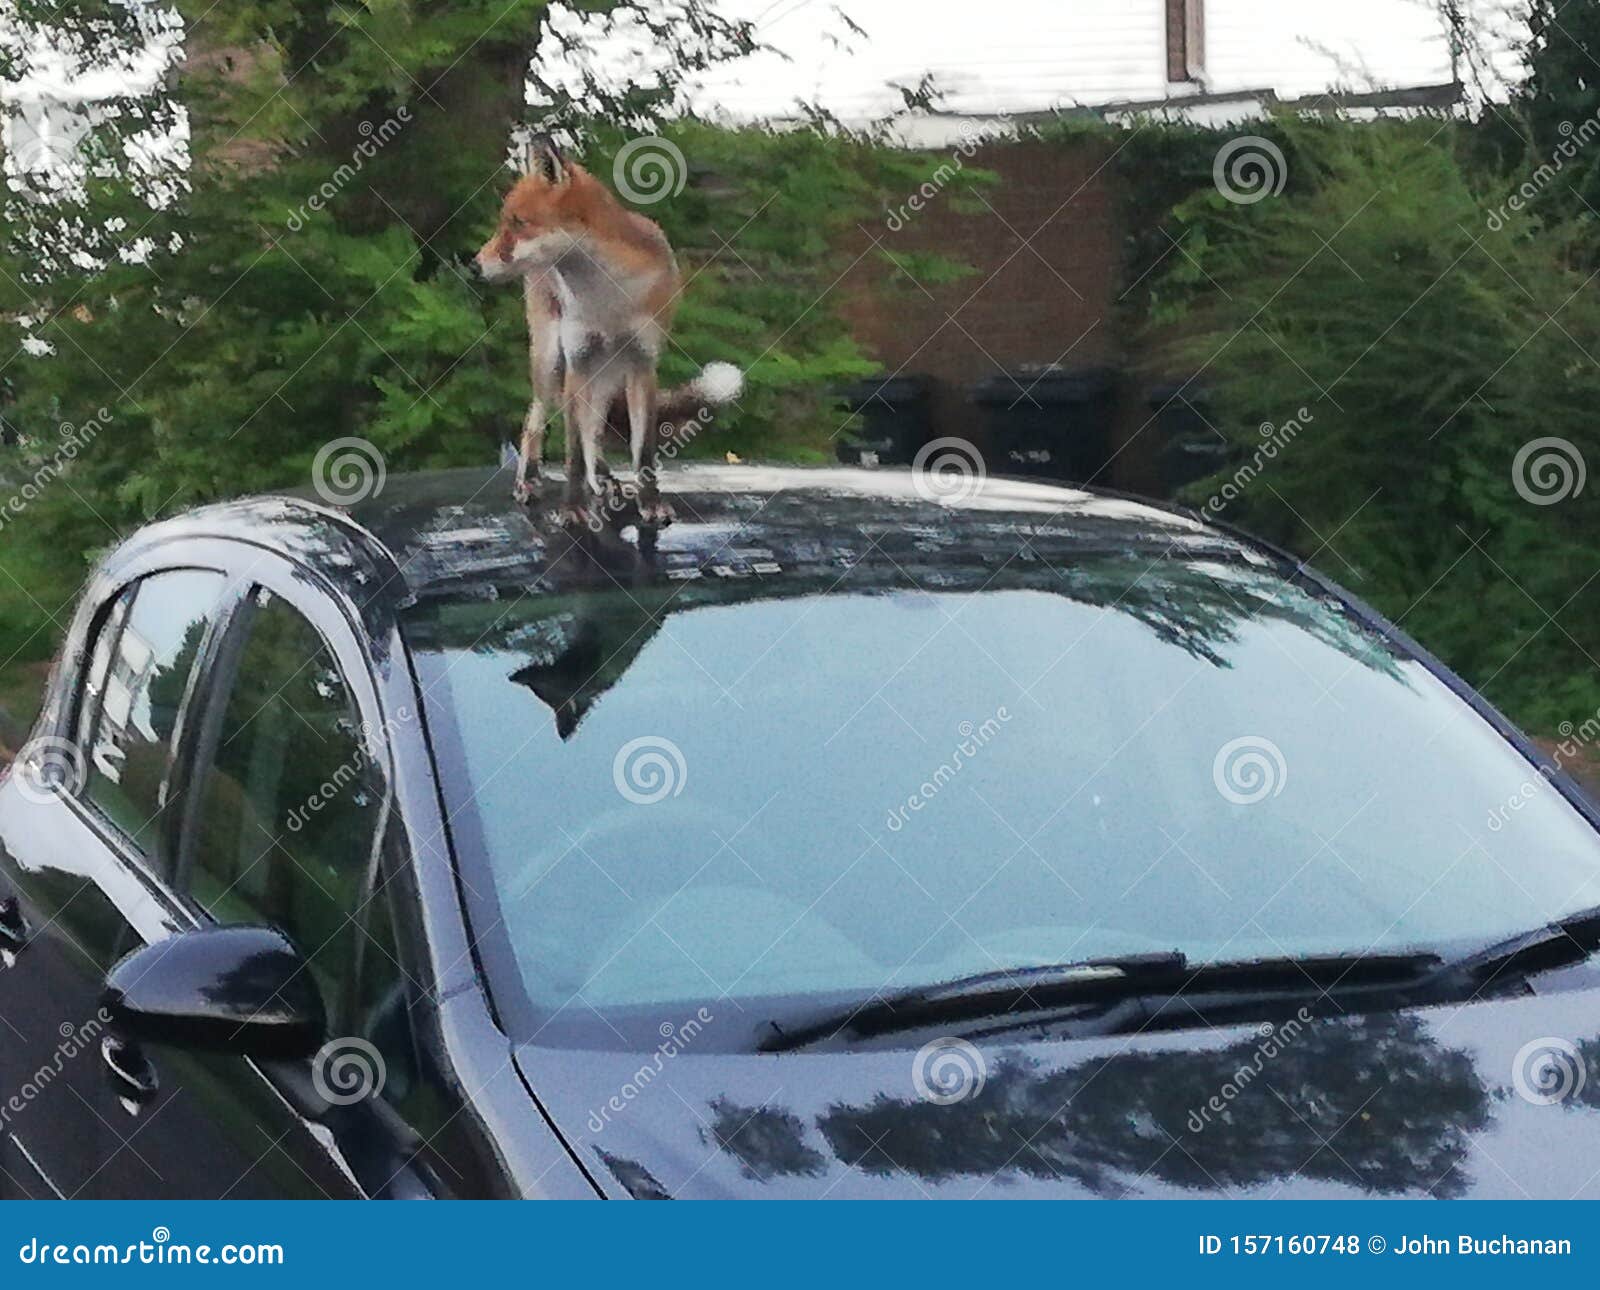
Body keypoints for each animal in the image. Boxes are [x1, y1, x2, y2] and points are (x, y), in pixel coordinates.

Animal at [475, 138, 743, 527]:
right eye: (503, 223)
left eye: (518, 222)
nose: (473, 266)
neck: (609, 298)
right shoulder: (578, 358)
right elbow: (572, 452)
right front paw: (572, 509)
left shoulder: (643, 362)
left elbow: (642, 450)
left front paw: (650, 503)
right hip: (551, 361)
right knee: (535, 419)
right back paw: (529, 480)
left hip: (609, 369)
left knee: (594, 428)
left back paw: (600, 478)